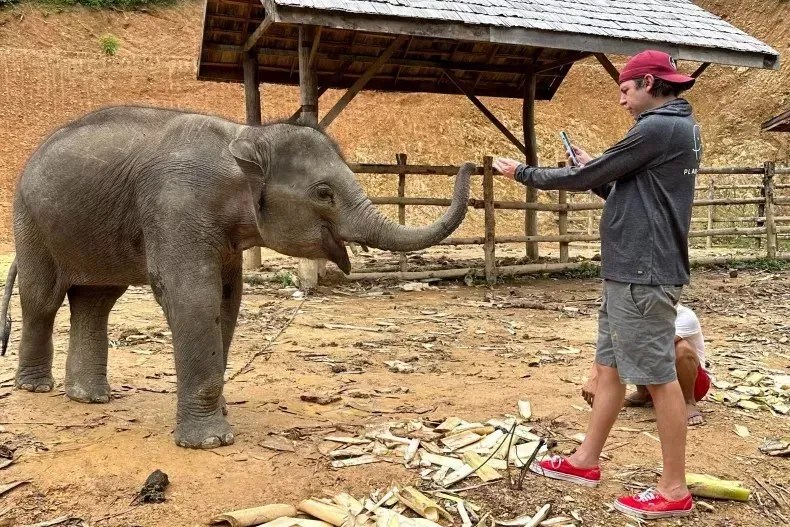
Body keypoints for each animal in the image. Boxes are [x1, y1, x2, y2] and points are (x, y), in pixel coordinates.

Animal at [0, 106, 475, 449]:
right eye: (324, 193)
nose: (472, 162)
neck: (244, 137)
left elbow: (228, 302)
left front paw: (221, 414)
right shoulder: (176, 208)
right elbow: (195, 298)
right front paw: (210, 442)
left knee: (96, 301)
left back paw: (90, 397)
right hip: (29, 219)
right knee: (42, 299)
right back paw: (37, 388)